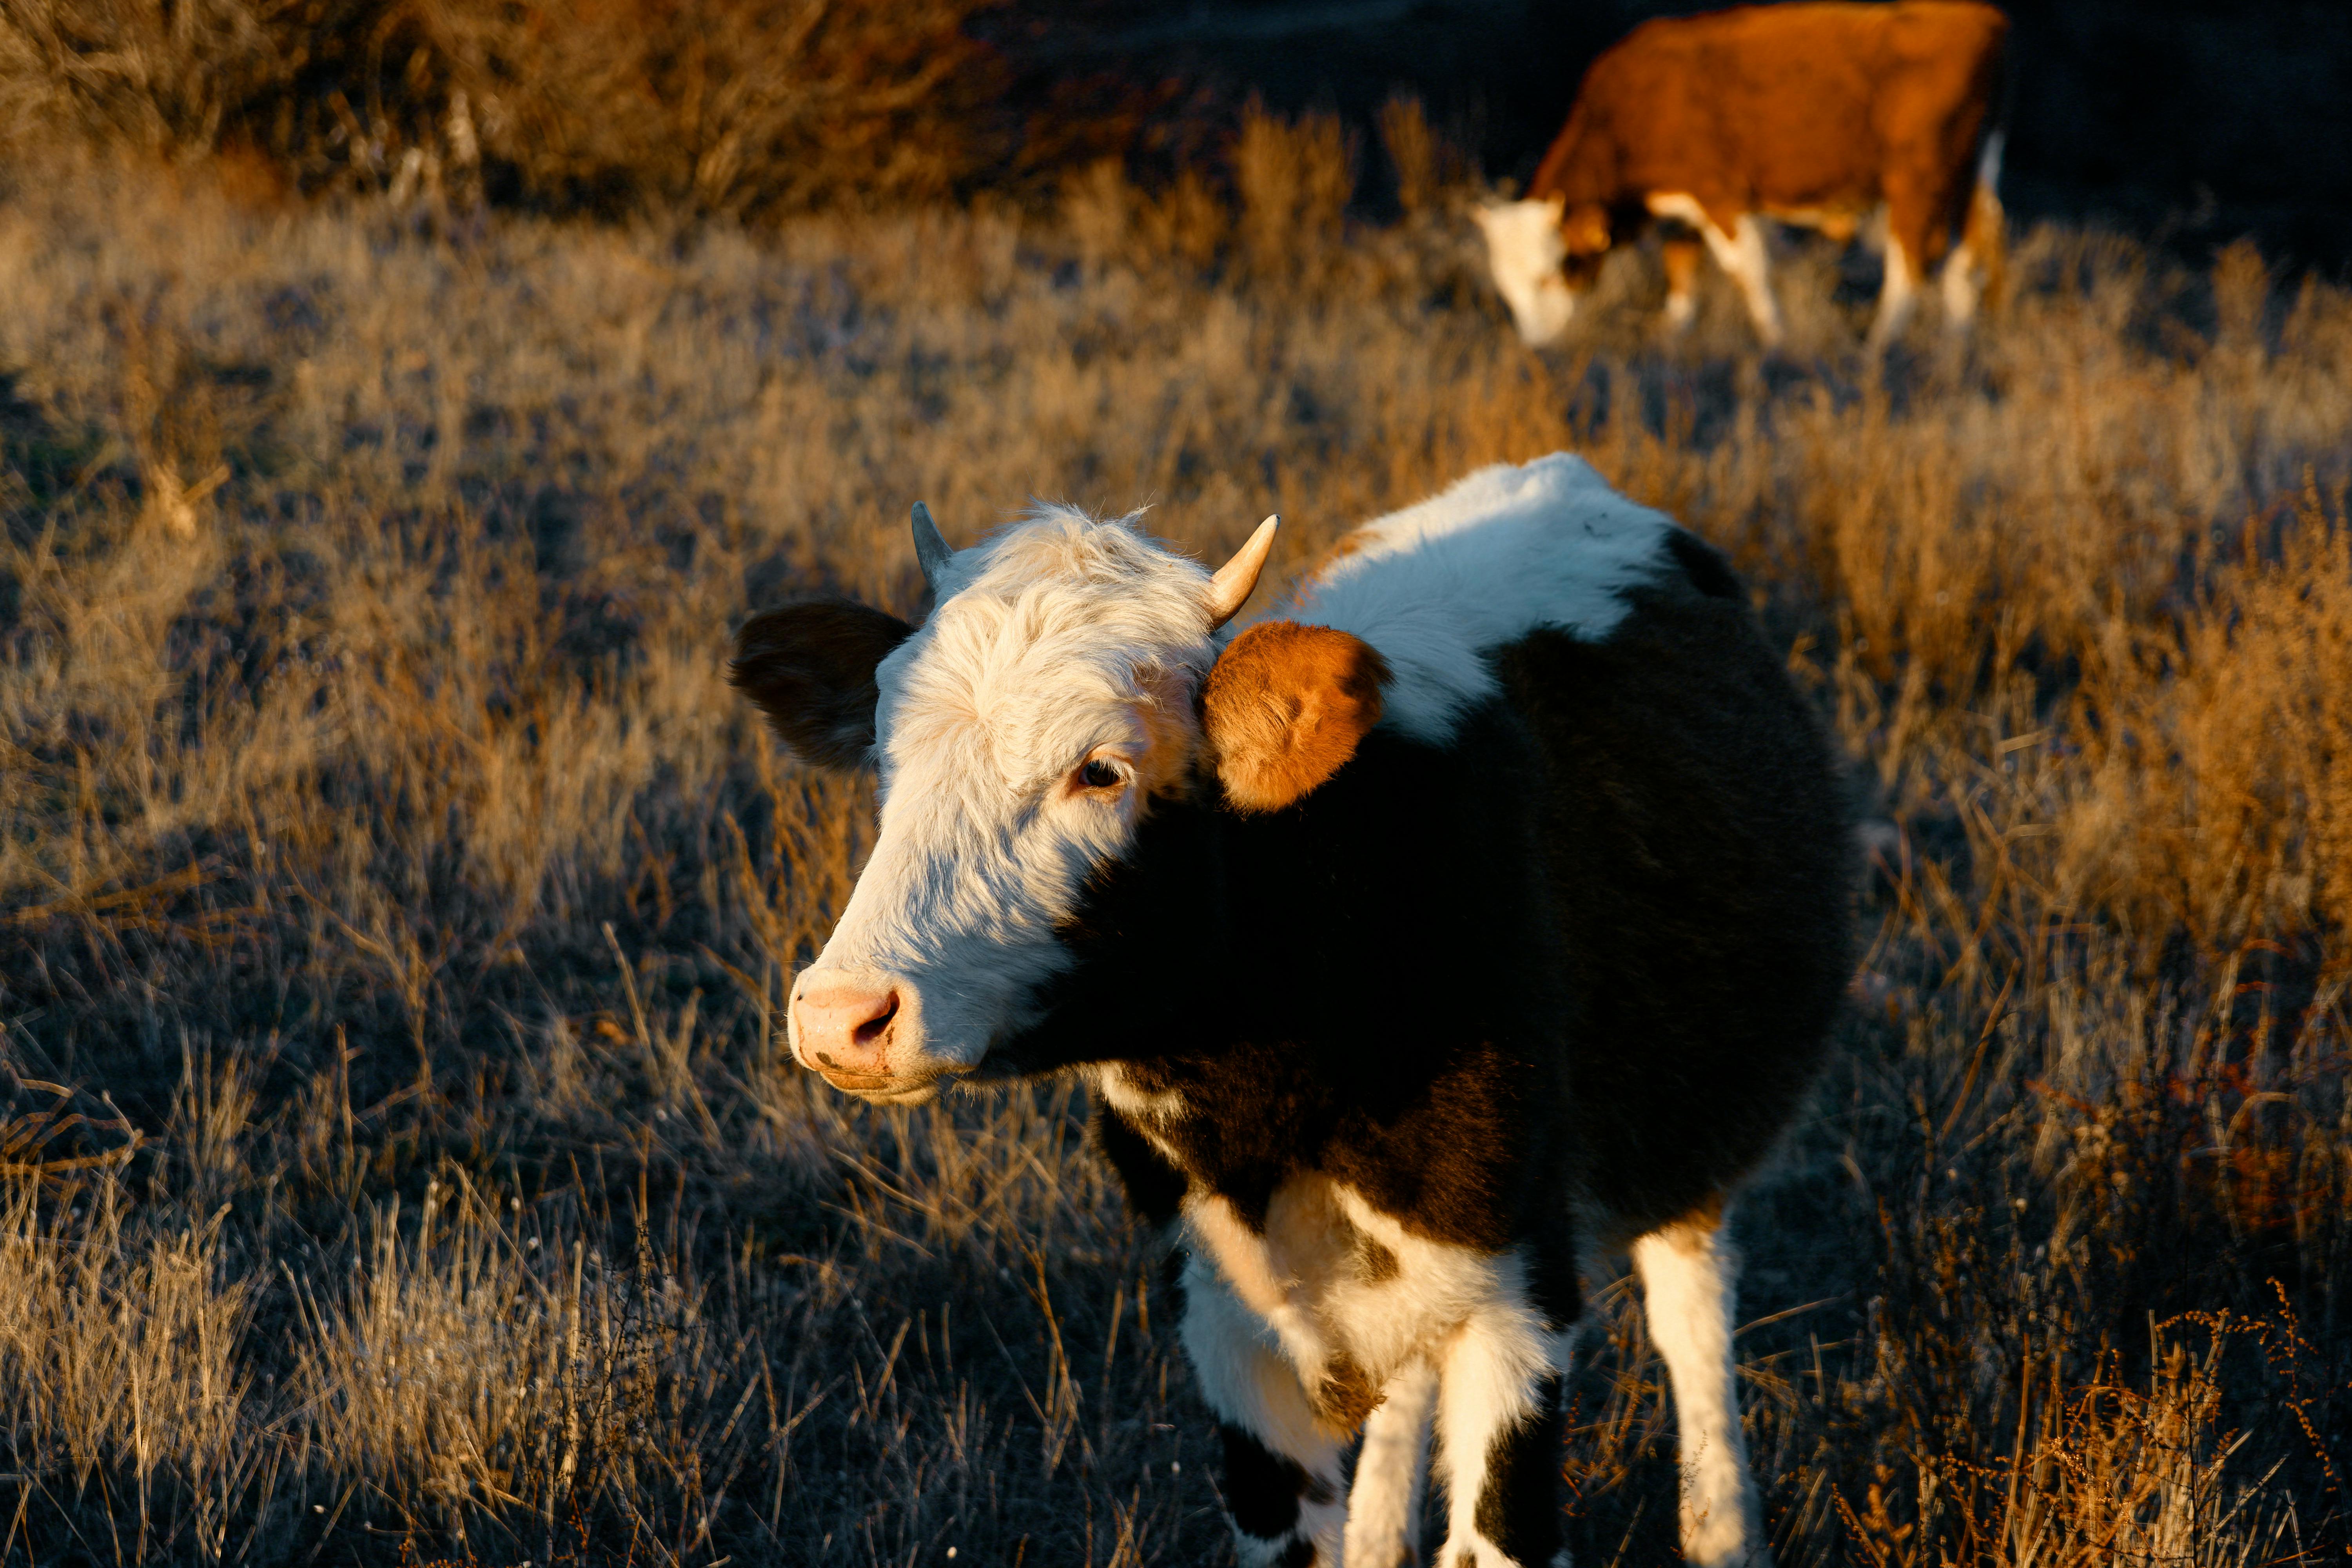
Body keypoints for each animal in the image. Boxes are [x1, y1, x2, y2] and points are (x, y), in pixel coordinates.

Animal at [728, 454, 1853, 1568]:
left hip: (1697, 1133)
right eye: (886, 757)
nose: (842, 1016)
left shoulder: (1522, 1300)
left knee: (1692, 1313)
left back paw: (1723, 1531)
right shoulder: (1227, 1320)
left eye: (1102, 770)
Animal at [1475, 1, 2009, 350]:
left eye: (1550, 275)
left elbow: (1748, 270)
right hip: (1973, 173)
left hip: (1918, 178)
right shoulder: (1682, 210)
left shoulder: (1720, 194)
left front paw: (1776, 340)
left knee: (1911, 264)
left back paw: (1880, 347)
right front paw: (1674, 332)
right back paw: (1958, 342)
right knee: (1967, 259)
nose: (1538, 347)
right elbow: (1682, 270)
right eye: (1506, 288)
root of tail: (1981, 17)